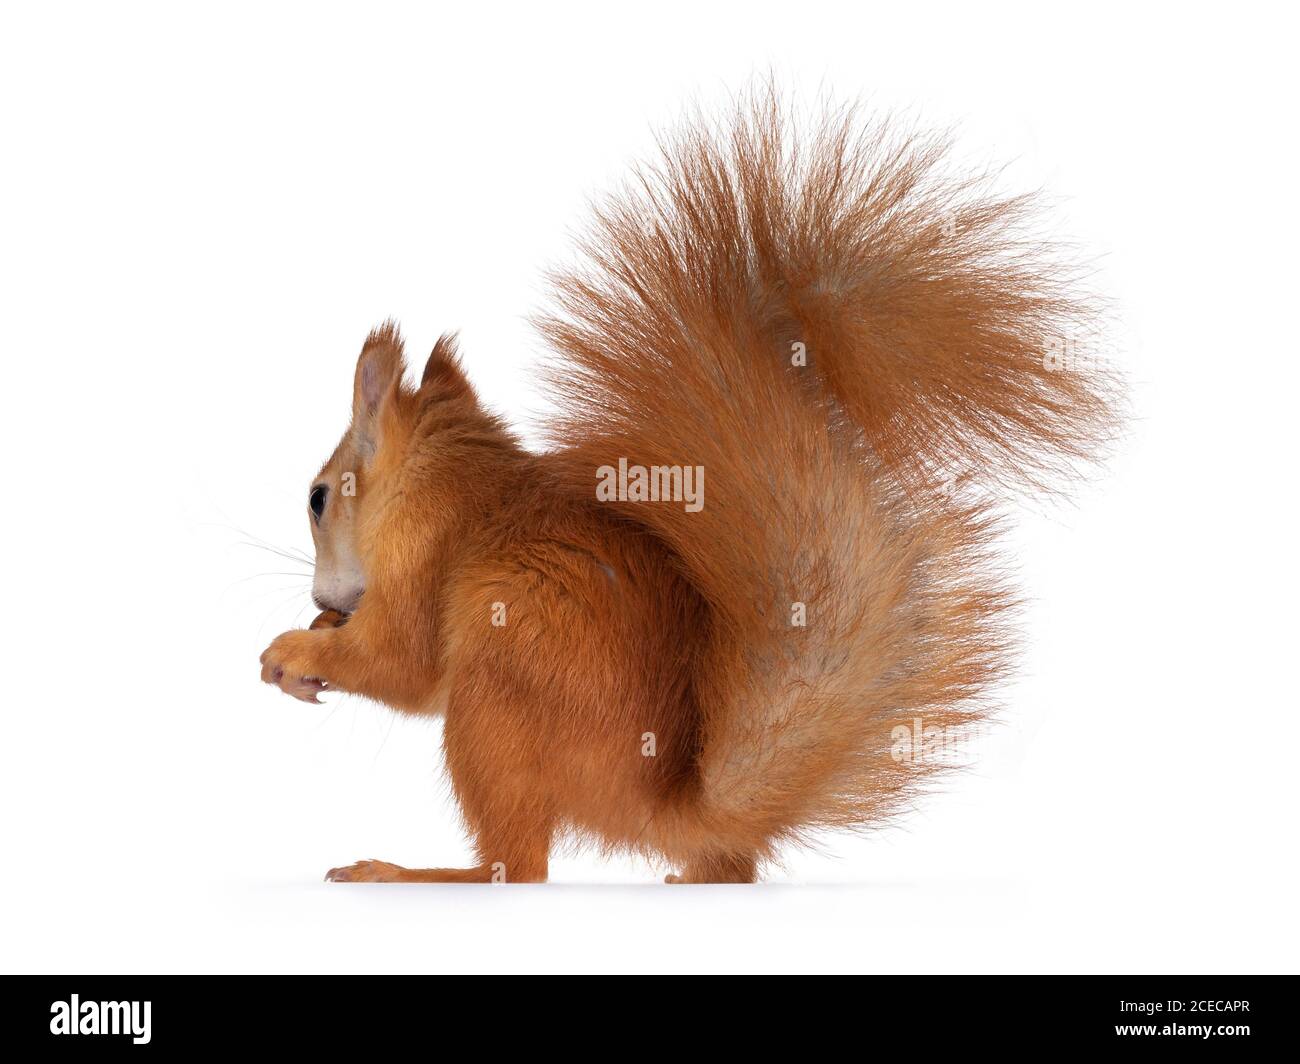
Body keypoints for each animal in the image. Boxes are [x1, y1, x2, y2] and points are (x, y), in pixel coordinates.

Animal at [258, 91, 1119, 884]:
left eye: (316, 498)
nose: (324, 600)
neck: (437, 479)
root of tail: (668, 806)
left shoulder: (420, 559)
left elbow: (400, 664)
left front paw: (294, 649)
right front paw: (313, 638)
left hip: (498, 695)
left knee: (518, 867)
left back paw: (405, 872)